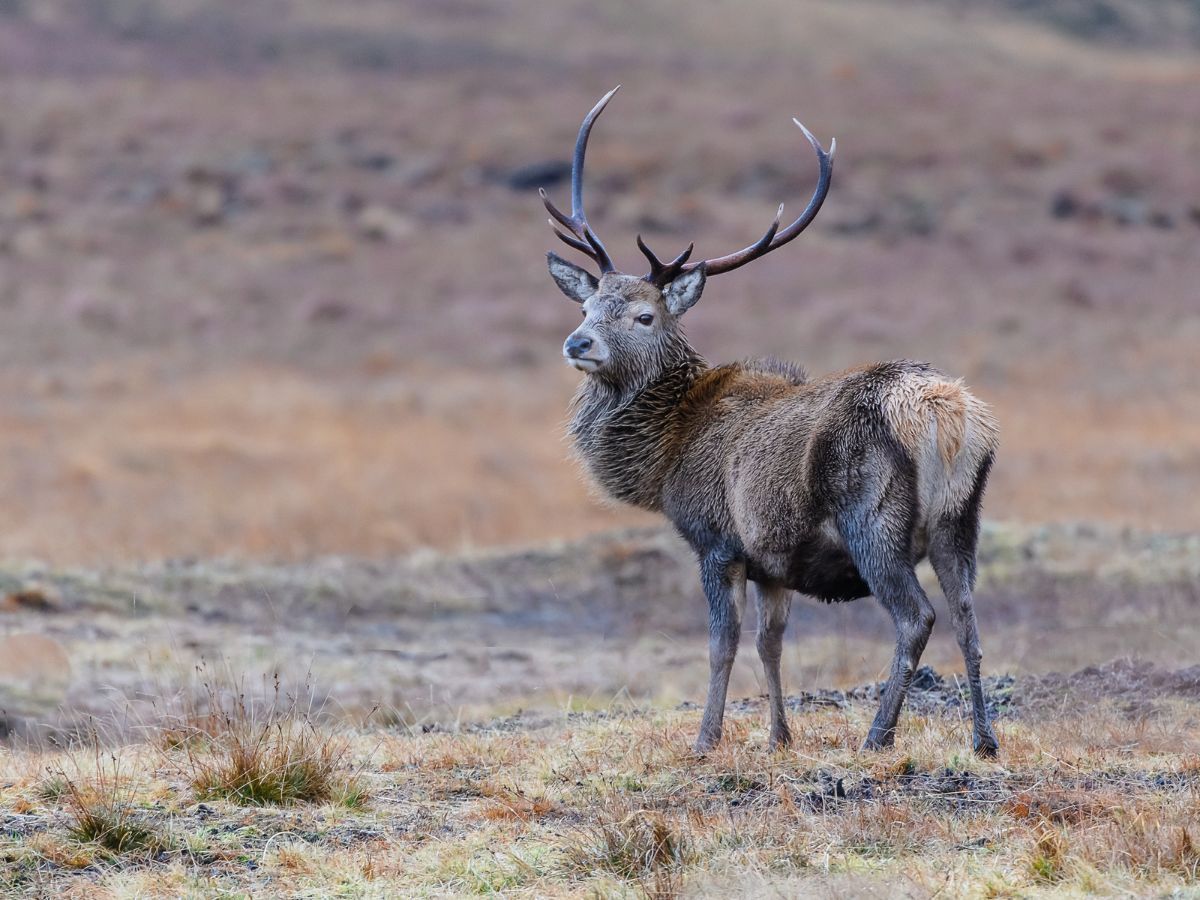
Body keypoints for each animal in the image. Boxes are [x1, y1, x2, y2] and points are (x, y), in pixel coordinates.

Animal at [541, 87, 1000, 757]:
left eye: (646, 316)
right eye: (586, 306)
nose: (578, 343)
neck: (667, 453)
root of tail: (948, 416)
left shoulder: (716, 541)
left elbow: (722, 644)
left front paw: (705, 740)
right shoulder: (772, 563)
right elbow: (771, 642)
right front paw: (780, 736)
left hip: (874, 519)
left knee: (918, 617)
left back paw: (878, 736)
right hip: (960, 521)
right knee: (968, 616)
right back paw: (984, 741)